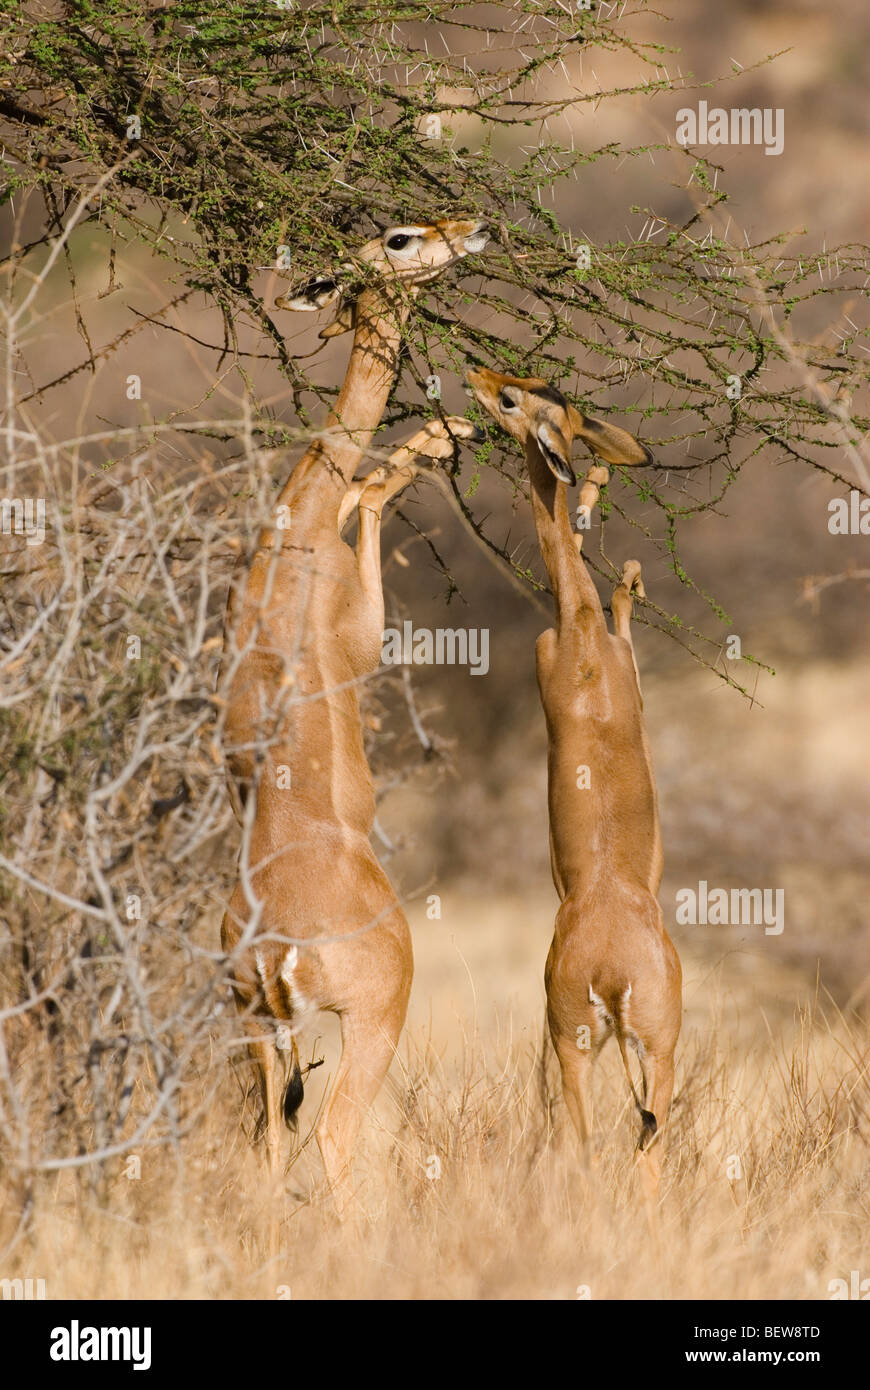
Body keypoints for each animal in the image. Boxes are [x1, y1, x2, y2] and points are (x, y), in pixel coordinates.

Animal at [220, 220, 487, 1208]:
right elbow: (371, 495)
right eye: (400, 237)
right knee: (334, 1141)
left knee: (267, 1147)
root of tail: (274, 947)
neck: (291, 529)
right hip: (372, 1020)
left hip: (259, 1033)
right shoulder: (364, 635)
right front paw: (449, 432)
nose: (471, 227)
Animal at [464, 367, 682, 1186]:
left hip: (592, 1047)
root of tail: (615, 973)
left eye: (512, 397)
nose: (477, 371)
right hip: (639, 1050)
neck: (580, 630)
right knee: (634, 1147)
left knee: (597, 1146)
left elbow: (620, 588)